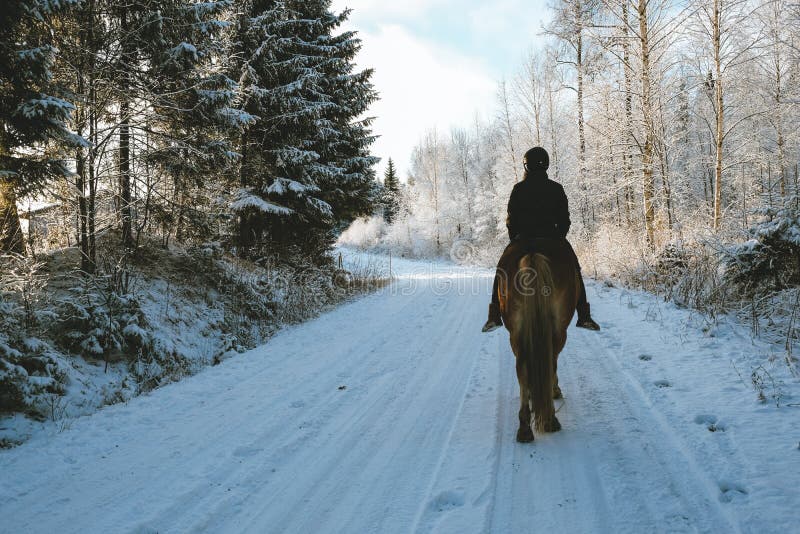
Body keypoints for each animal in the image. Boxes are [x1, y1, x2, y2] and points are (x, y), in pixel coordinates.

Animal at [497, 238, 580, 443]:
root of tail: (533, 254)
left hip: (516, 332)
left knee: (522, 367)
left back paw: (525, 427)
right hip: (559, 331)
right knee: (551, 360)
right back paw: (549, 418)